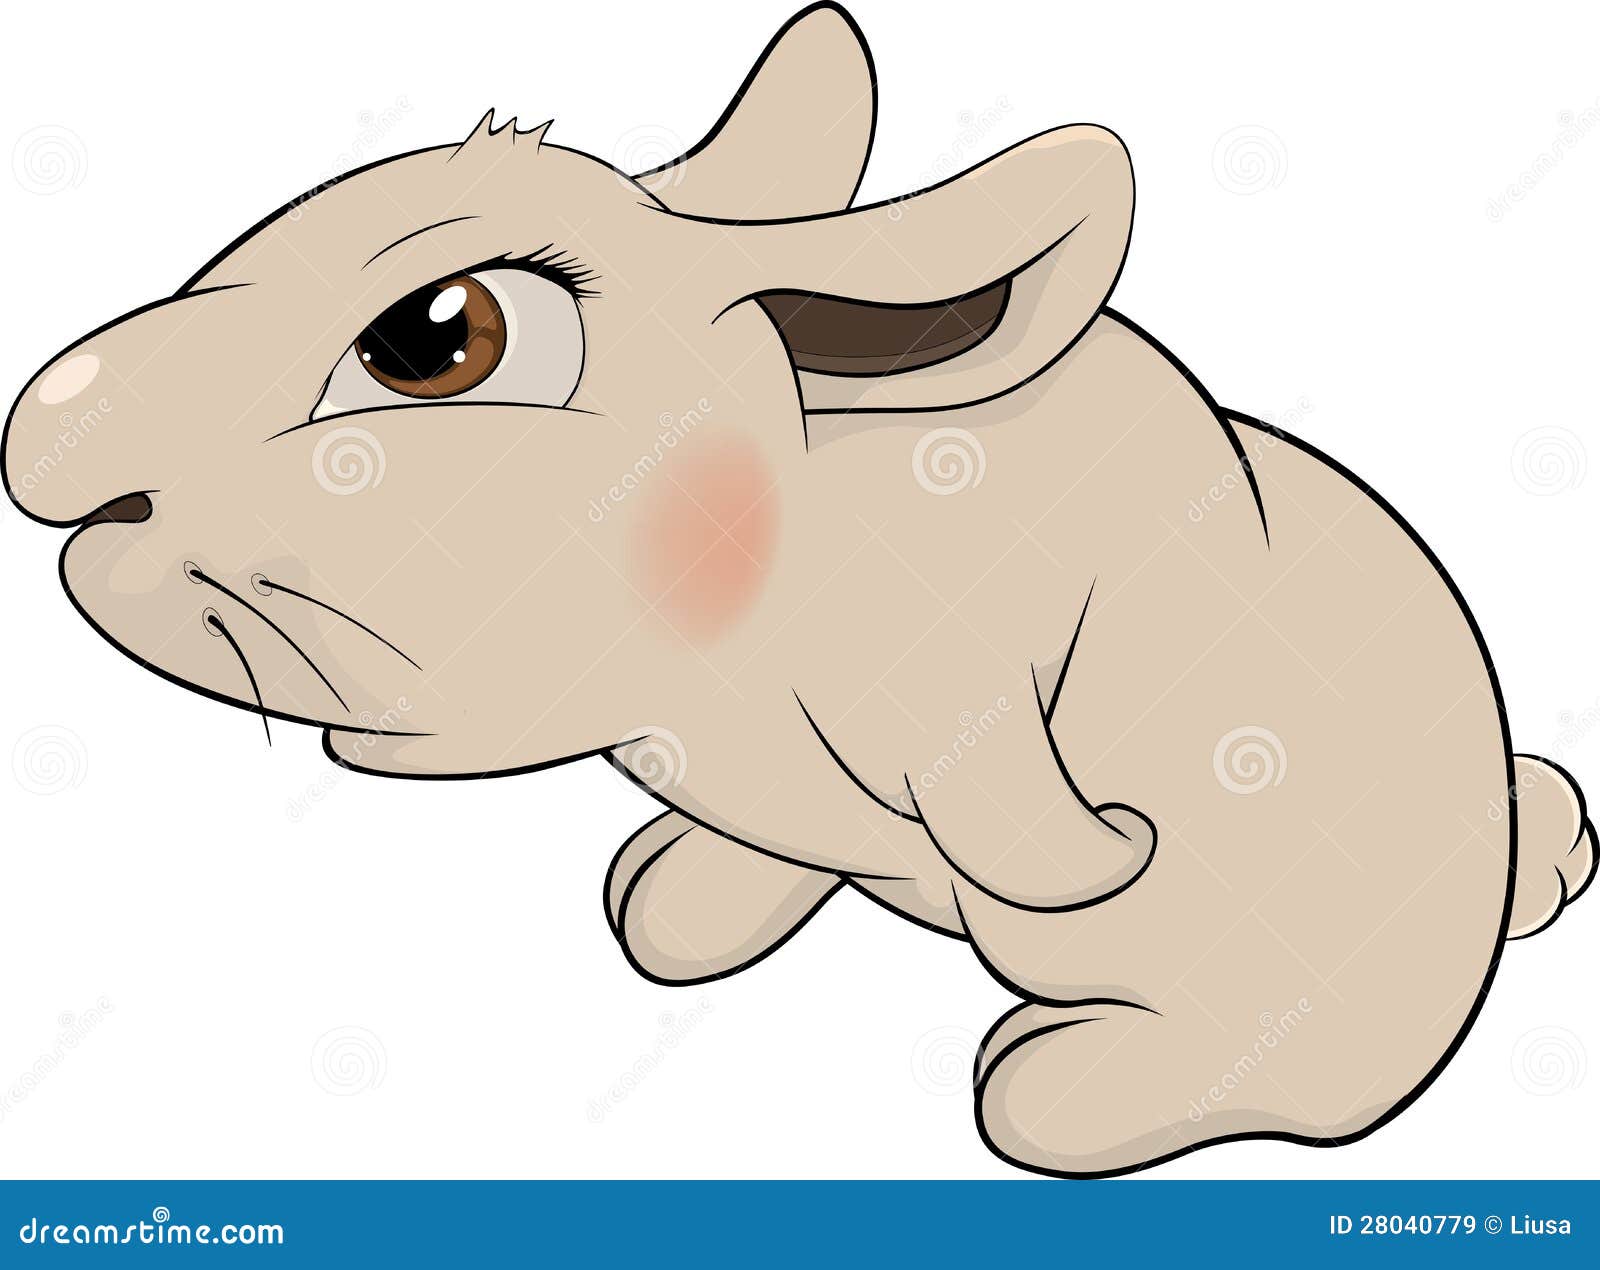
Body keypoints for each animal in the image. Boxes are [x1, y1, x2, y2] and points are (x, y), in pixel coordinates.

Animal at [3, 3, 1593, 1177]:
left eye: (440, 337)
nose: (45, 458)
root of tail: (1505, 866)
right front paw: (677, 900)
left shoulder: (977, 692)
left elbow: (1033, 836)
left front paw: (1091, 850)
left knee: (1159, 1093)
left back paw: (1065, 1069)